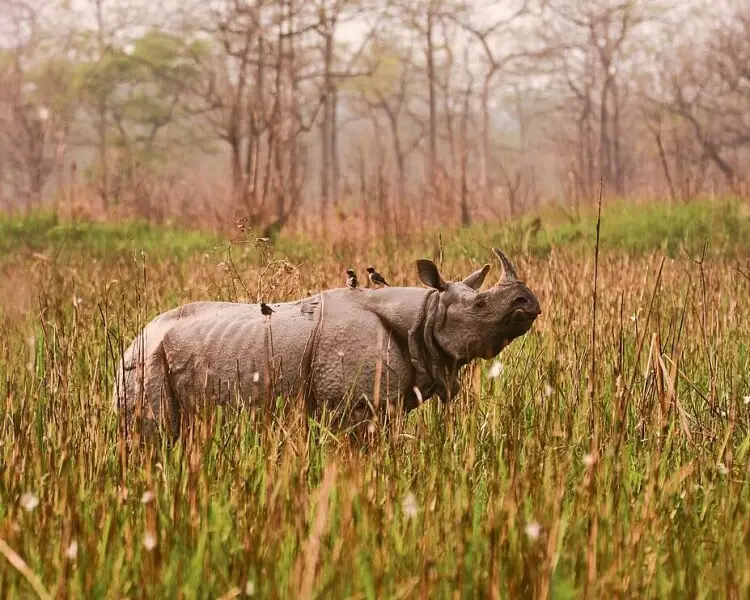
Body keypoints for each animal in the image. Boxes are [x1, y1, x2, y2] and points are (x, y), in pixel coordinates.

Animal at [112, 248, 541, 439]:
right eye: (481, 305)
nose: (529, 303)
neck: (425, 314)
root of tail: (135, 337)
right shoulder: (354, 404)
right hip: (145, 362)